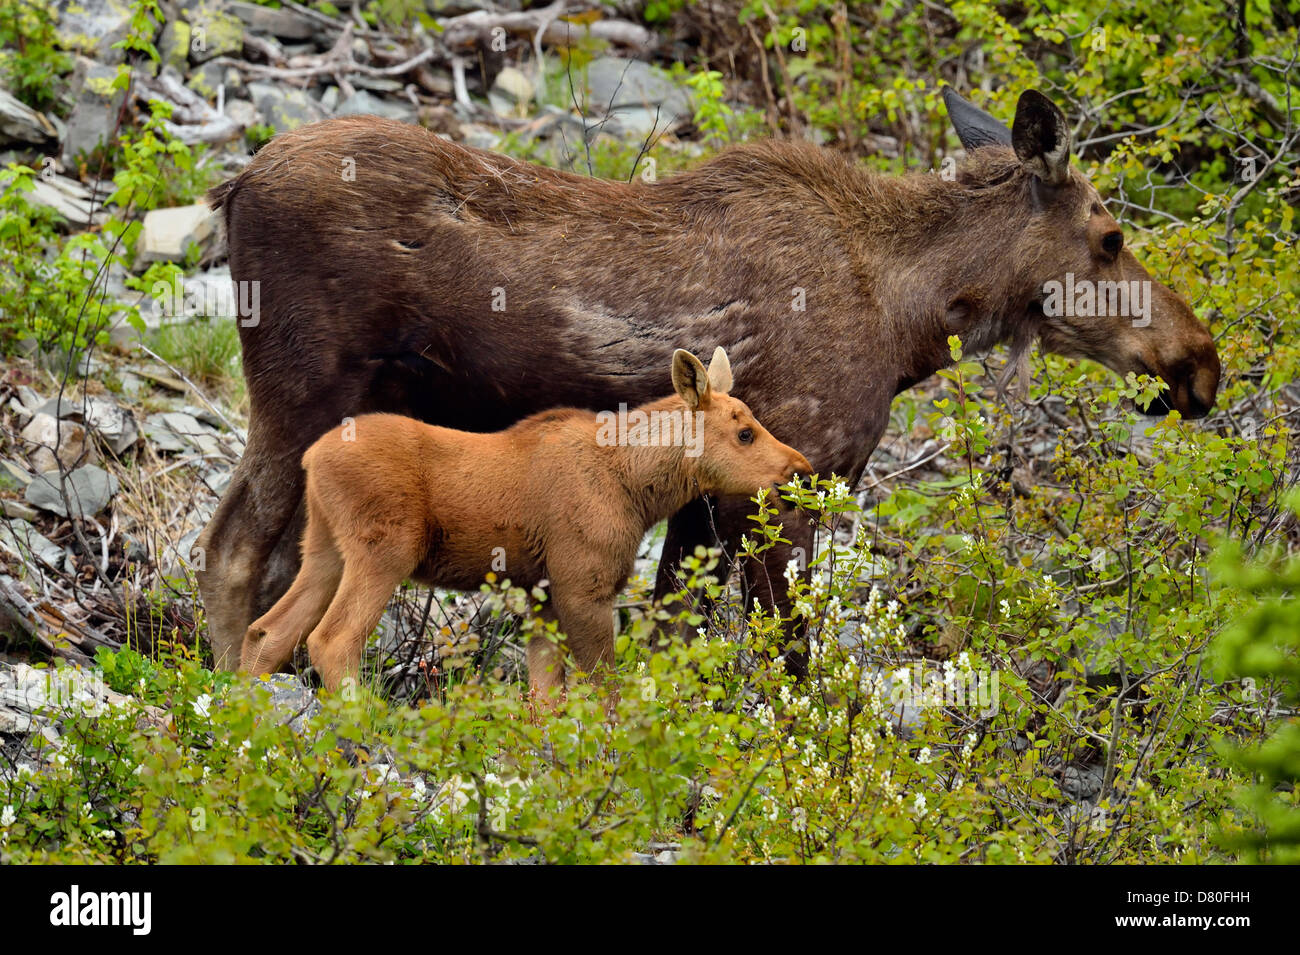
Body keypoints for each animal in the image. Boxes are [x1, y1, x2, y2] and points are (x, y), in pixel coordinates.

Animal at [239, 347, 812, 693]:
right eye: (744, 433)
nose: (801, 471)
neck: (639, 488)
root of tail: (312, 457)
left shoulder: (542, 596)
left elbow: (544, 701)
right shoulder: (583, 584)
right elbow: (603, 690)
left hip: (325, 548)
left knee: (266, 631)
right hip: (385, 549)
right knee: (332, 640)